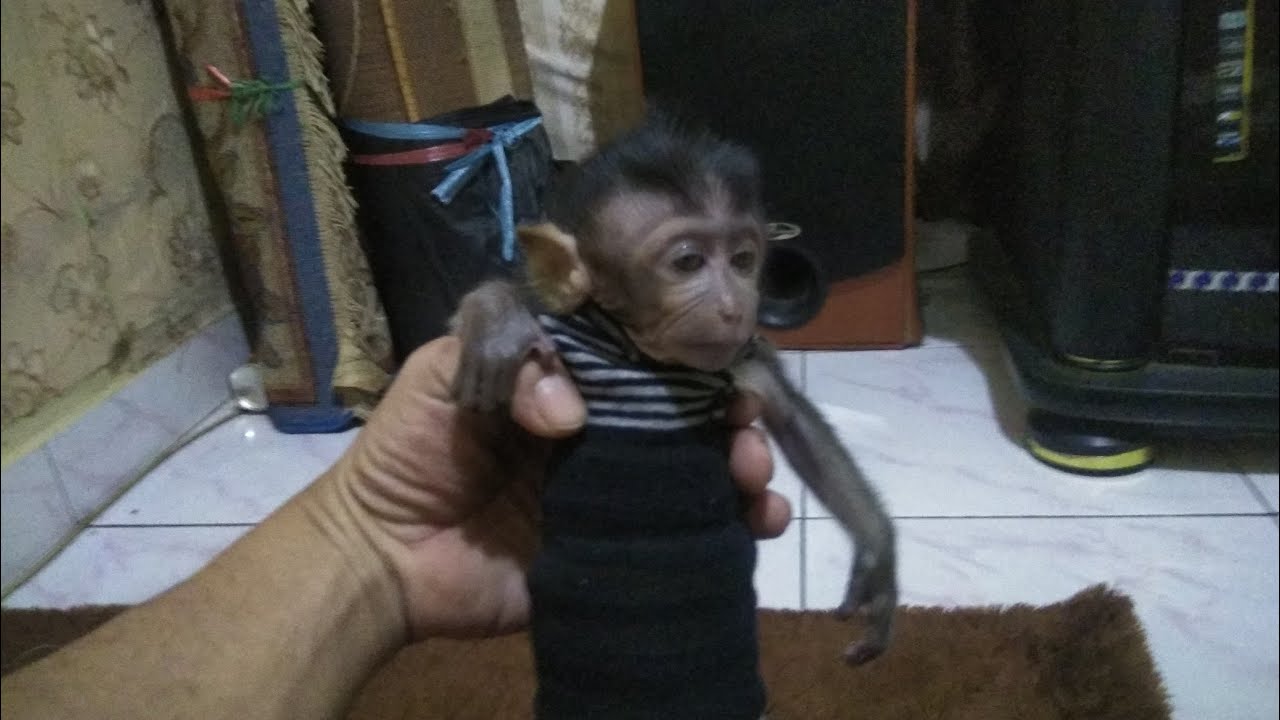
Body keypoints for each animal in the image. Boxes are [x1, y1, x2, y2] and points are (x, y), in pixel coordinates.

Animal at [449, 115, 897, 718]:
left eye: (743, 261)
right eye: (688, 263)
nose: (735, 305)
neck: (648, 360)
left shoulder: (740, 360)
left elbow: (793, 420)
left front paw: (876, 558)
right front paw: (498, 319)